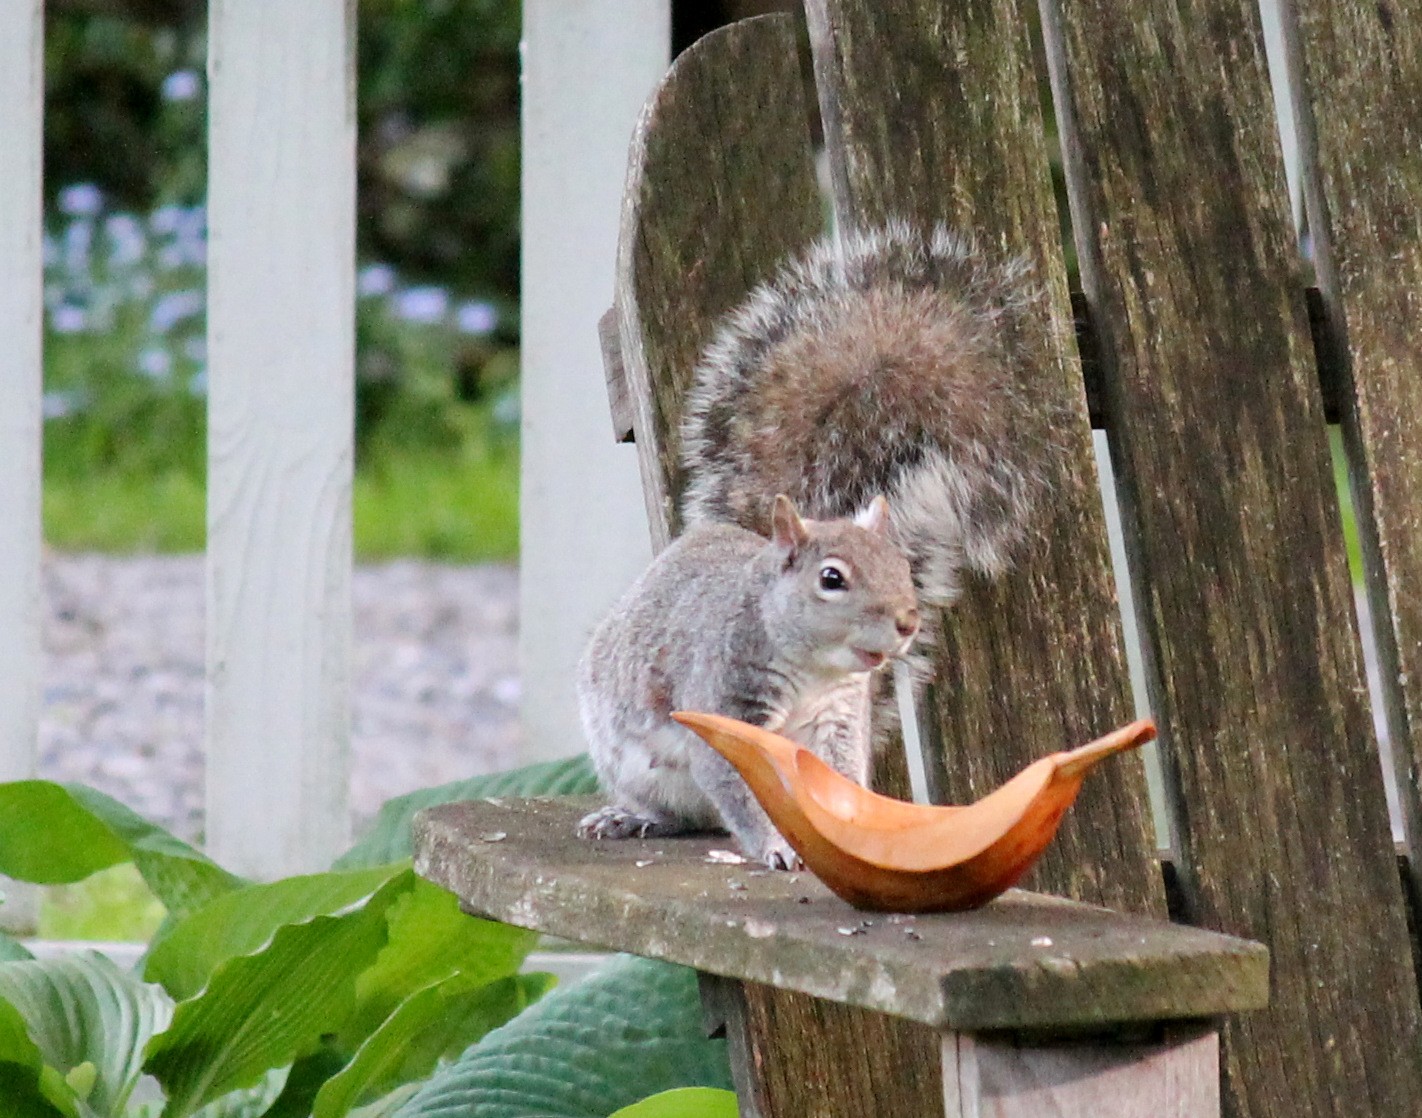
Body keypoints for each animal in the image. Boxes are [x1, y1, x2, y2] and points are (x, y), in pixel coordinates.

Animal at [576, 221, 1065, 868]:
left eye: (904, 568)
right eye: (831, 579)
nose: (908, 622)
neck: (813, 669)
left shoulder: (837, 723)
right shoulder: (723, 706)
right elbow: (738, 791)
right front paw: (776, 848)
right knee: (685, 813)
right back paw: (633, 817)